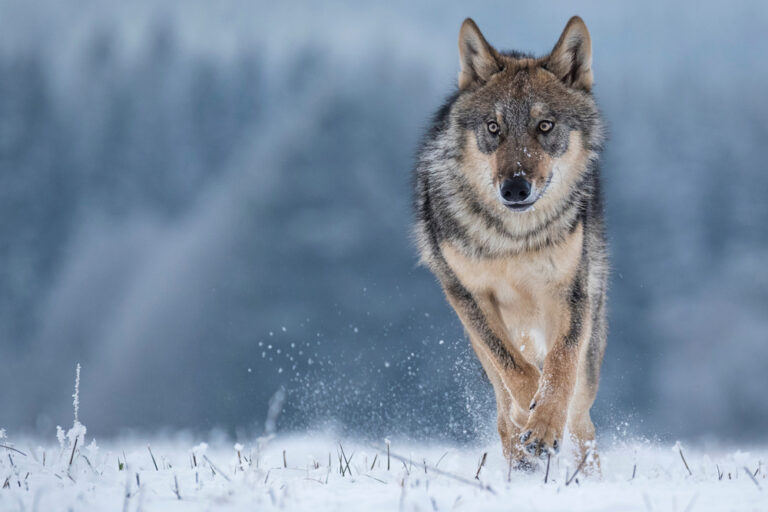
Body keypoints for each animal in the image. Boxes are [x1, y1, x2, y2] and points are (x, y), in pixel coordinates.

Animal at [413, 16, 607, 470]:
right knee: (502, 400)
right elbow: (514, 370)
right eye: (494, 128)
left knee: (583, 421)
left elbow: (560, 367)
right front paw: (528, 417)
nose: (515, 188)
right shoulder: (468, 295)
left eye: (544, 126)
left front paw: (545, 423)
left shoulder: (570, 292)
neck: (514, 240)